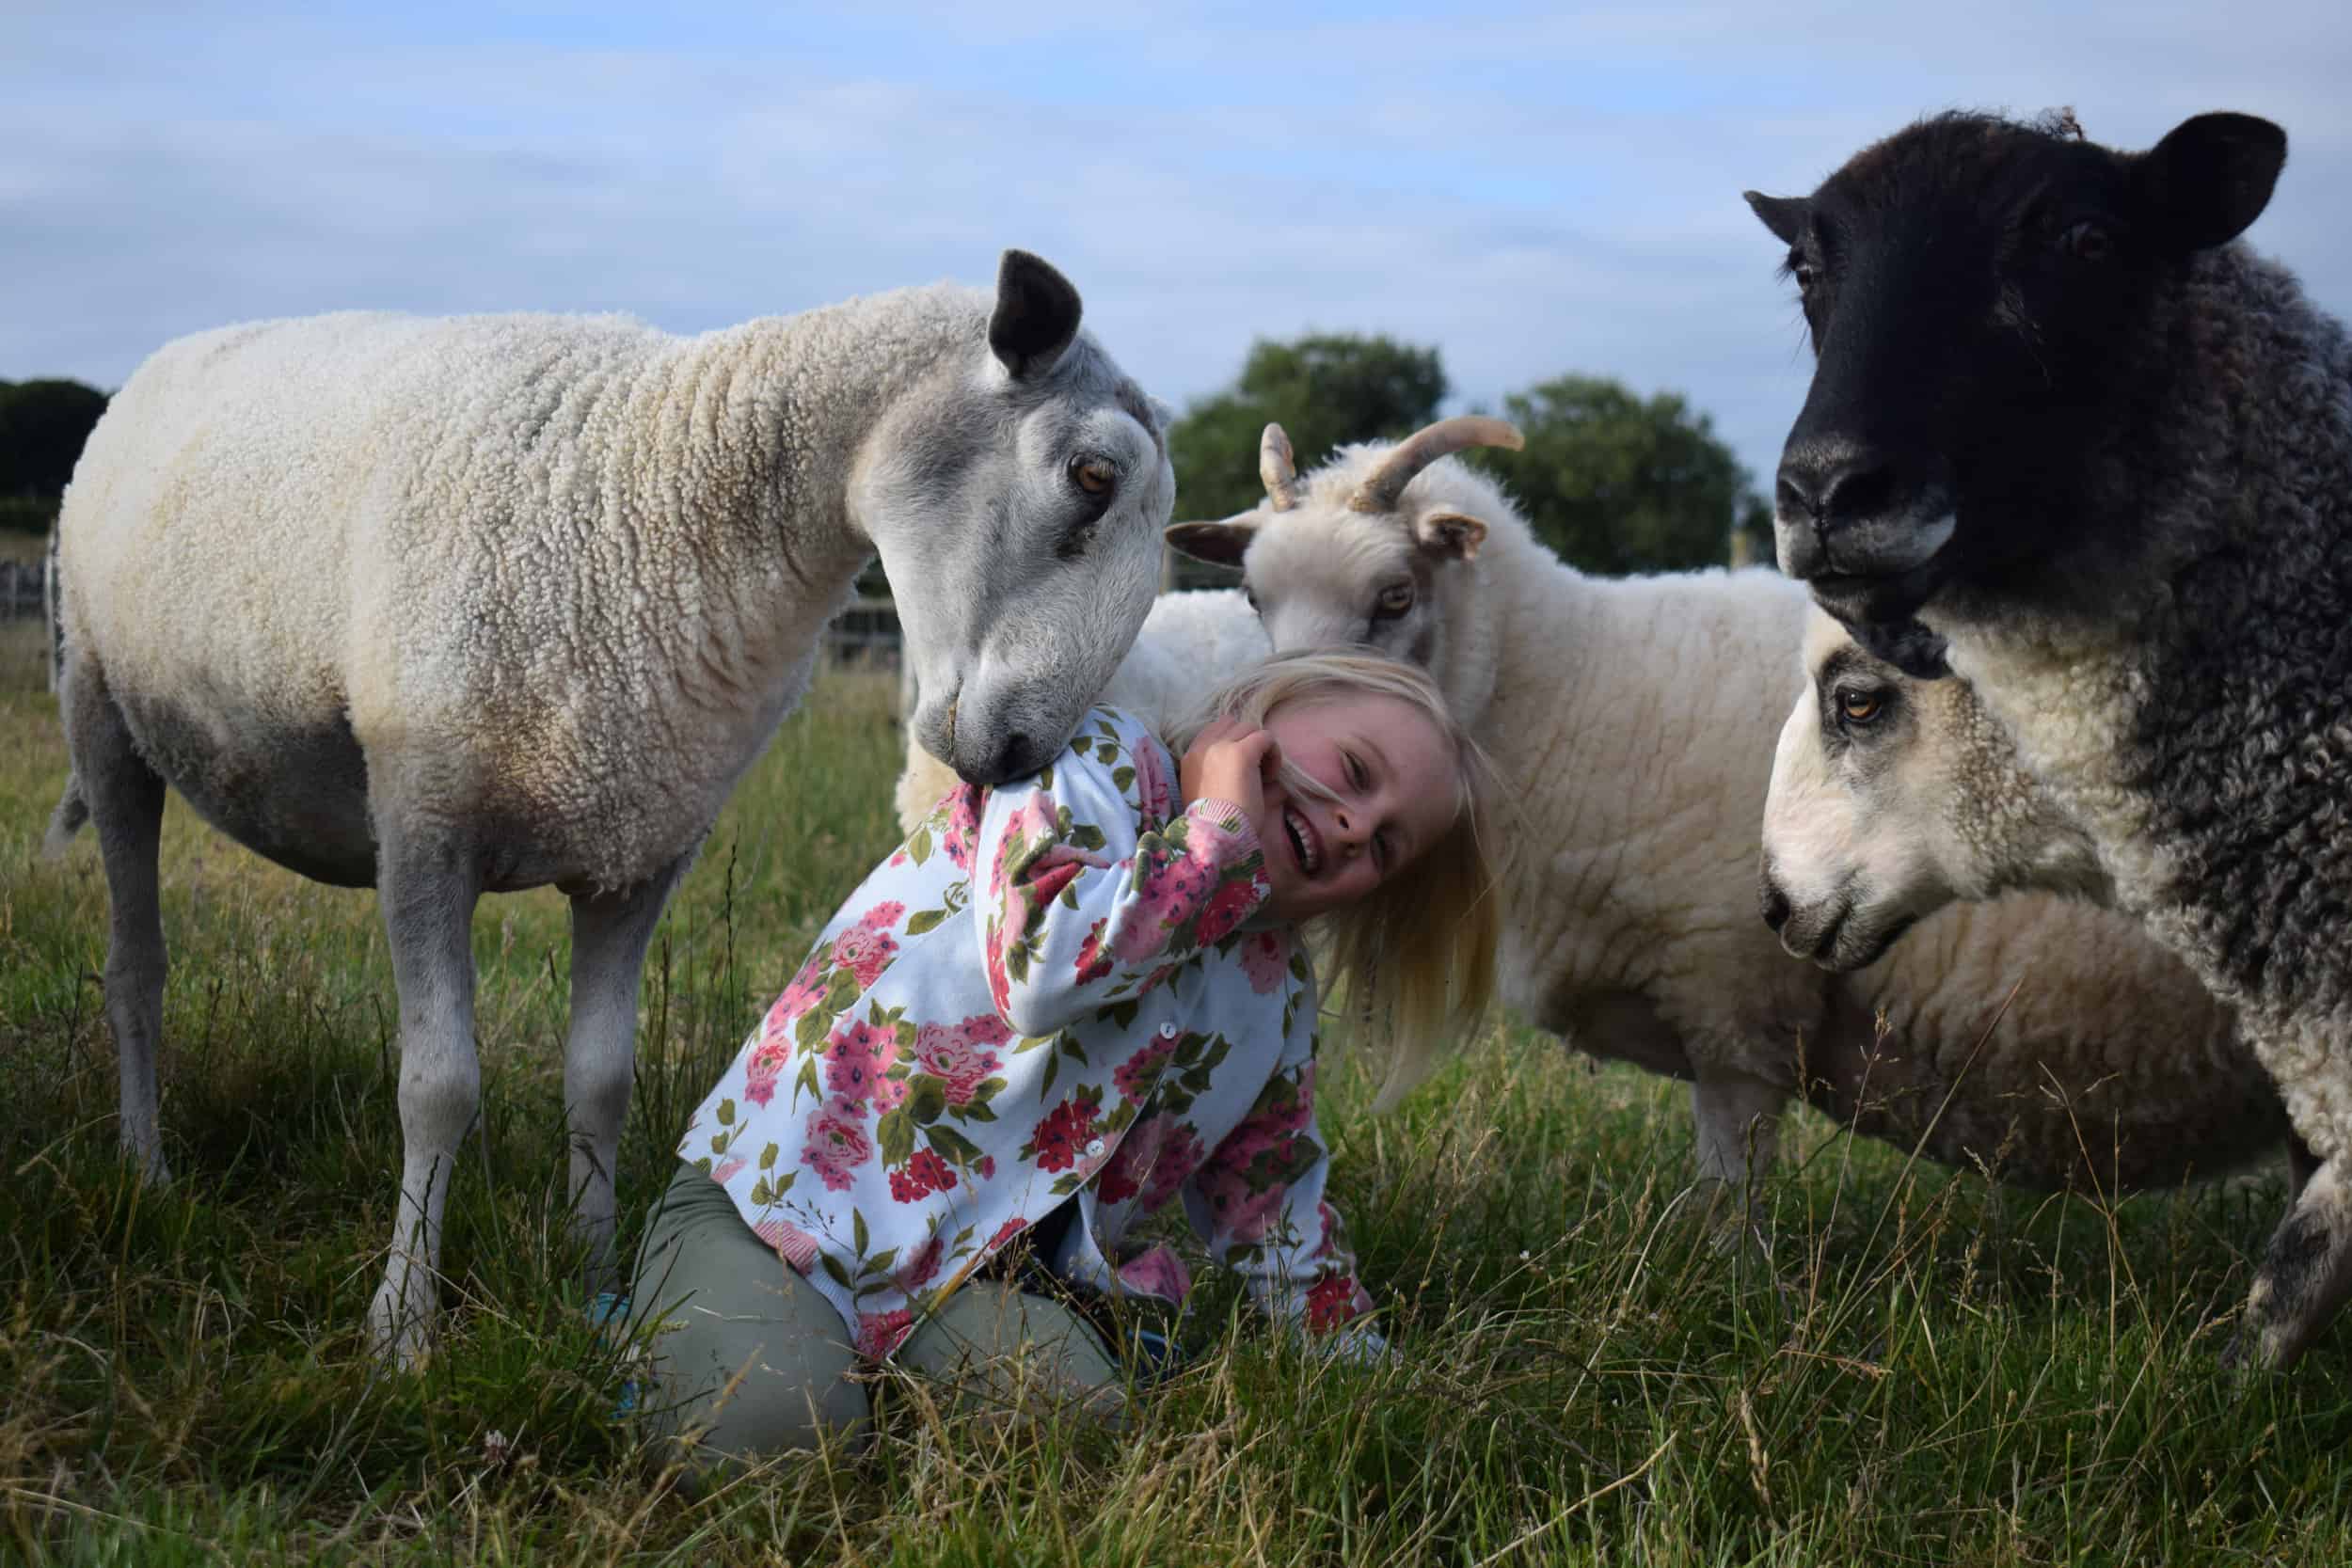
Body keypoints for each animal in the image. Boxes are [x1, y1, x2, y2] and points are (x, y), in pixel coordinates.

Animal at [45, 251, 1177, 1363]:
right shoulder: (422, 822)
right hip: (102, 714)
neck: (658, 500)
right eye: (1090, 476)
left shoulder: (641, 849)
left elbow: (601, 1080)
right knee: (135, 968)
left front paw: (592, 1280)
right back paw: (147, 1168)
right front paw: (402, 1326)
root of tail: (159, 364)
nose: (1022, 750)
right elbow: (438, 1086)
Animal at [1161, 419, 2290, 1215]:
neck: (1563, 689)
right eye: (1254, 599)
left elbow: (1729, 1199)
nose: (1274, 729)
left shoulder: (1735, 999)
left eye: (1394, 596)